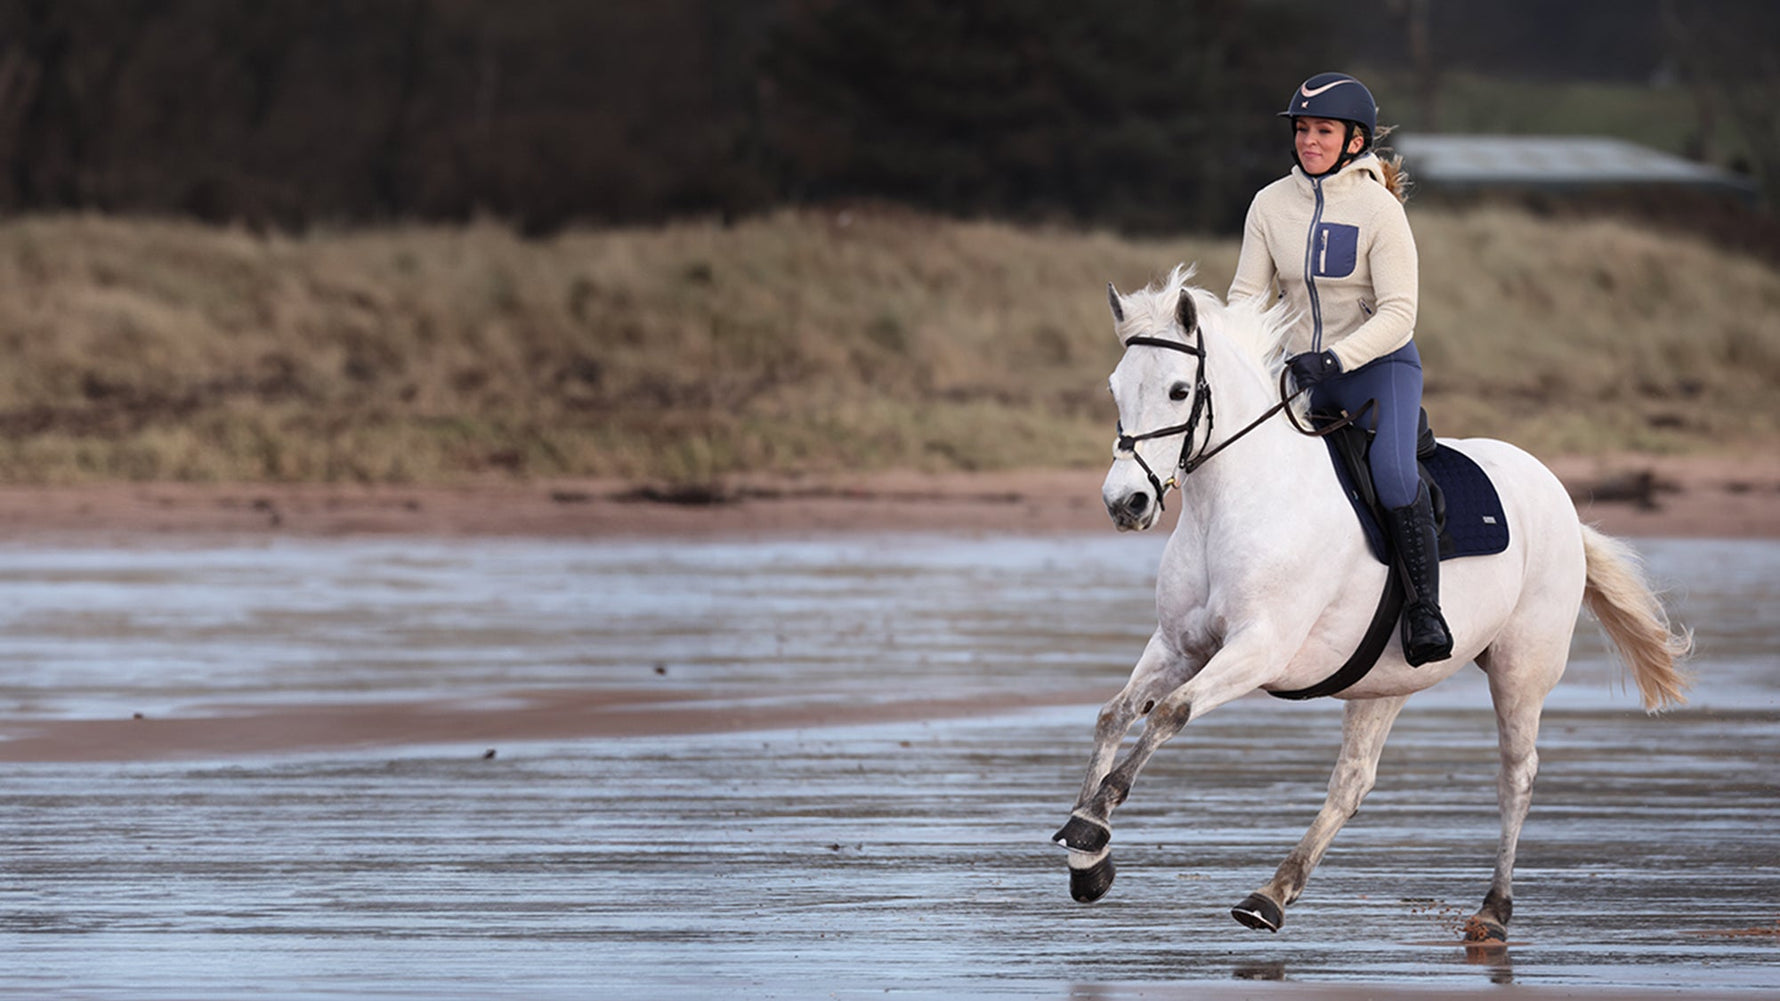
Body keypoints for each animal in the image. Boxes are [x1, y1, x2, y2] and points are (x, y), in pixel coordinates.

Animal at [1052, 265, 1692, 941]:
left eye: (1179, 391)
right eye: (1116, 388)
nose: (1125, 503)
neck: (1235, 502)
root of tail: (1557, 495)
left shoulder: (1258, 648)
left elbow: (1169, 714)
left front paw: (1091, 823)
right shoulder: (1179, 644)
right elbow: (1115, 715)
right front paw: (1088, 858)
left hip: (1522, 668)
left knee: (1516, 774)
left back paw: (1493, 910)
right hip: (1385, 681)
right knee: (1353, 782)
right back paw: (1271, 895)